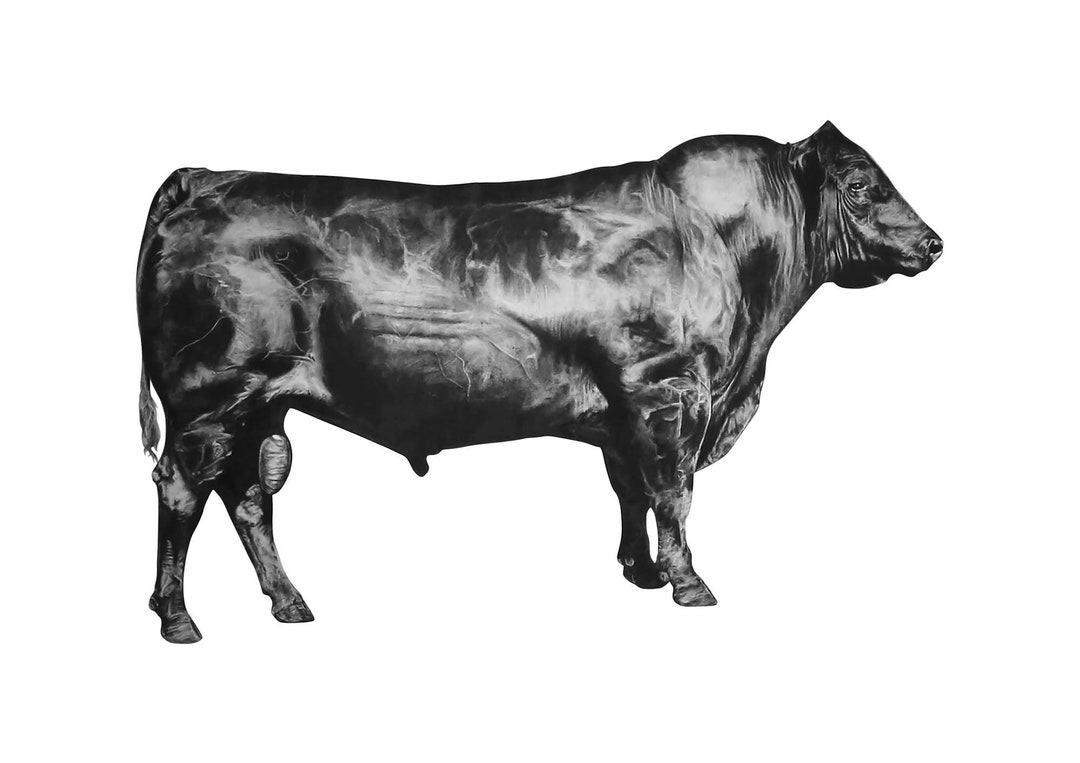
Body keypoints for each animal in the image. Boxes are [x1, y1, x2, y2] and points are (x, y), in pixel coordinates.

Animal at [137, 121, 942, 643]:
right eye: (863, 186)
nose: (933, 241)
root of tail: (208, 177)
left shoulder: (624, 411)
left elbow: (631, 490)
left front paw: (642, 573)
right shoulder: (668, 392)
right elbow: (673, 492)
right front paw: (688, 583)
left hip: (261, 409)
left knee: (249, 498)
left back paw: (289, 602)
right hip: (211, 400)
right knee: (183, 491)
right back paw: (178, 617)